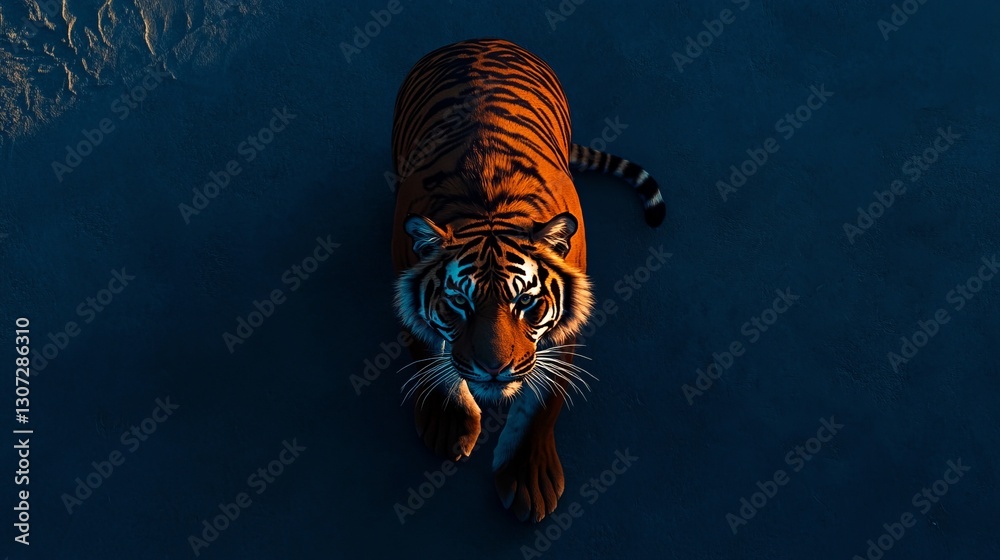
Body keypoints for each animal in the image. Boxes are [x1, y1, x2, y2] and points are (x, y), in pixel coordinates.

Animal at [390, 38, 665, 522]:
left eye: (527, 303)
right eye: (458, 303)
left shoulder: (565, 329)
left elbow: (544, 400)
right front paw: (449, 422)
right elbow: (427, 351)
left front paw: (528, 478)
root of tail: (478, 39)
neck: (487, 206)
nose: (492, 370)